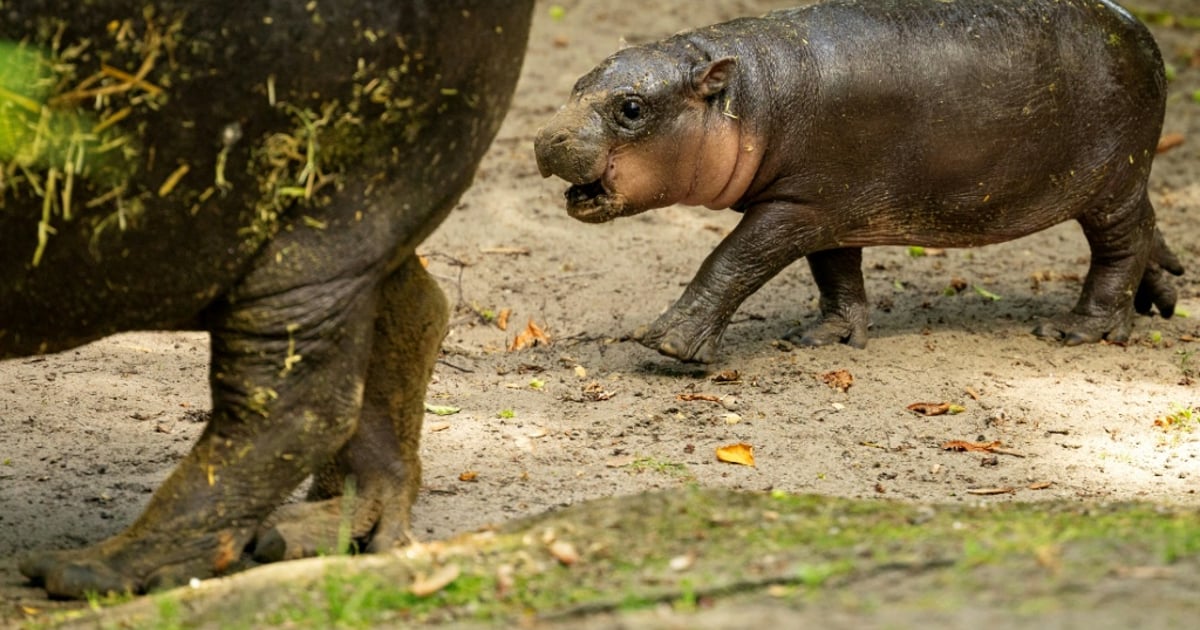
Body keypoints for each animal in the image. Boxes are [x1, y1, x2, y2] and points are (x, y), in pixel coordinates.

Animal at [534, 0, 1183, 363]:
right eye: (577, 83)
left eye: (632, 108)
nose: (547, 139)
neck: (748, 95)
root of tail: (1139, 28)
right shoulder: (831, 205)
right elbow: (836, 271)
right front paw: (822, 338)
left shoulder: (796, 205)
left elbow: (732, 259)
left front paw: (666, 344)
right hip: (1122, 176)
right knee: (1149, 228)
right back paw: (1162, 299)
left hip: (1109, 181)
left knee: (1122, 243)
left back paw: (1078, 330)